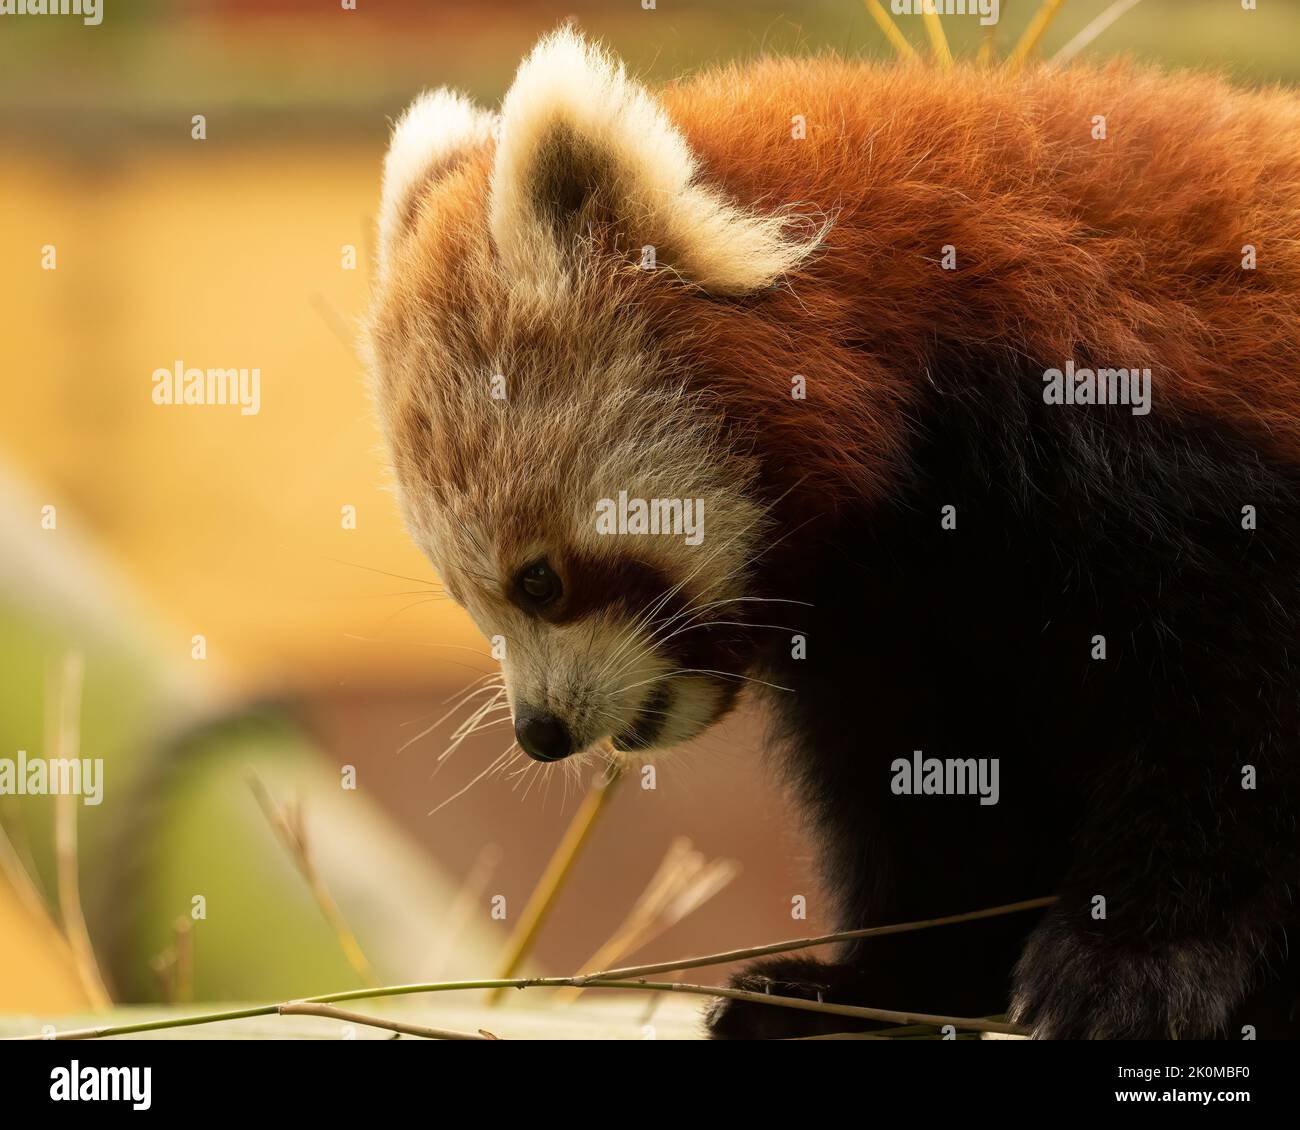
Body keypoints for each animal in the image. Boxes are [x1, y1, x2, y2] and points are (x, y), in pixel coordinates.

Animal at [363, 27, 1300, 1039]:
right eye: (467, 596)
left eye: (541, 580)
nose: (540, 732)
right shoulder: (892, 619)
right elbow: (922, 781)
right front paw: (882, 985)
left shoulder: (1167, 451)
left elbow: (1226, 720)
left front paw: (1132, 964)